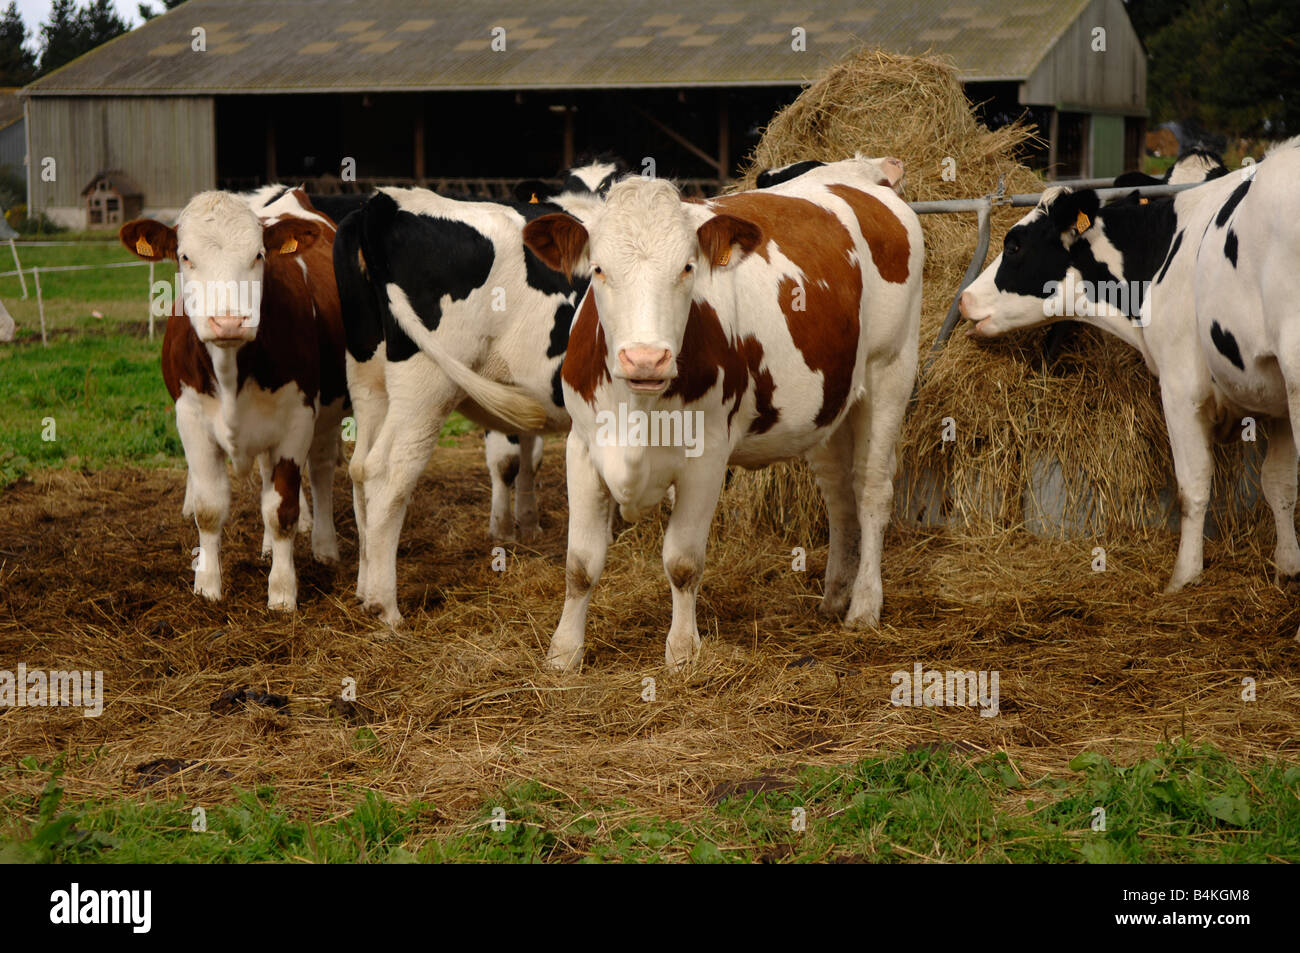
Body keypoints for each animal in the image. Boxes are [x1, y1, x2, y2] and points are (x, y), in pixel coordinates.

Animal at [120, 190, 348, 610]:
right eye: (185, 256)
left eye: (258, 255)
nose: (228, 322)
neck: (230, 370)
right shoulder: (190, 418)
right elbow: (210, 508)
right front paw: (207, 586)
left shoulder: (298, 418)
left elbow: (282, 510)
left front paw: (282, 592)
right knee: (266, 475)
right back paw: (270, 548)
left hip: (329, 410)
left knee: (321, 470)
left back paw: (324, 547)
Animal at [521, 157, 924, 670]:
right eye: (598, 270)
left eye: (687, 267)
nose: (646, 359)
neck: (638, 410)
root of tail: (860, 170)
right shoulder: (584, 446)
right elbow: (580, 563)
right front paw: (564, 652)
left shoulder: (707, 457)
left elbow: (682, 561)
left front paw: (681, 651)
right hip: (829, 402)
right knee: (838, 493)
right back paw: (835, 595)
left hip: (890, 370)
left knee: (872, 489)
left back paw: (864, 606)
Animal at [959, 139, 1300, 635]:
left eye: (1015, 244)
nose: (964, 299)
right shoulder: (1275, 398)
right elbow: (1279, 485)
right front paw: (1288, 567)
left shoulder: (1181, 387)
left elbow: (1192, 485)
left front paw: (1183, 578)